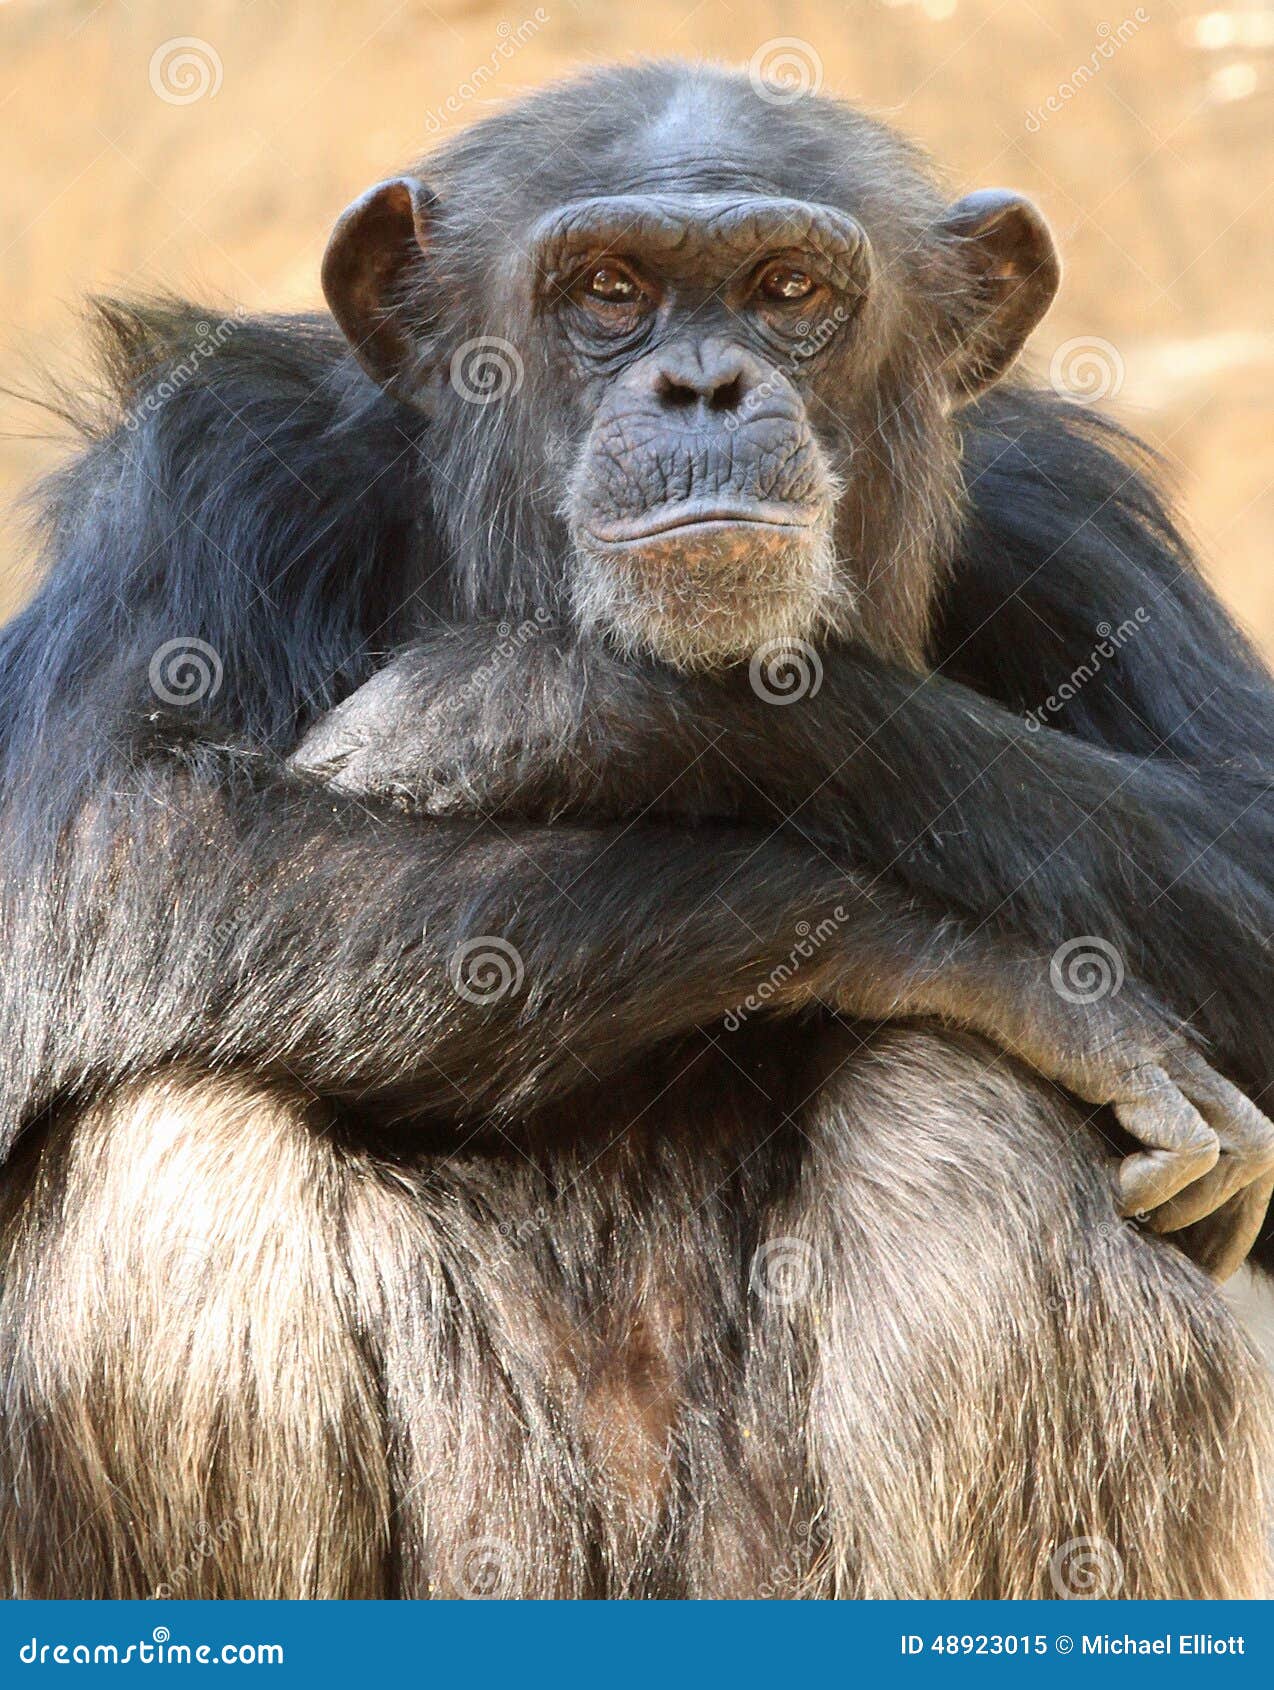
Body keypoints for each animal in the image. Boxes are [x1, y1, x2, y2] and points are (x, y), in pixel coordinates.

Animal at [1, 61, 1271, 1599]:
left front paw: (524, 699)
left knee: (972, 1102)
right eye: (608, 287)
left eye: (788, 288)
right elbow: (107, 839)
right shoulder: (206, 470)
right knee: (172, 1126)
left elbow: (1249, 835)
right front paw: (1009, 973)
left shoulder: (1068, 515)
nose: (703, 382)